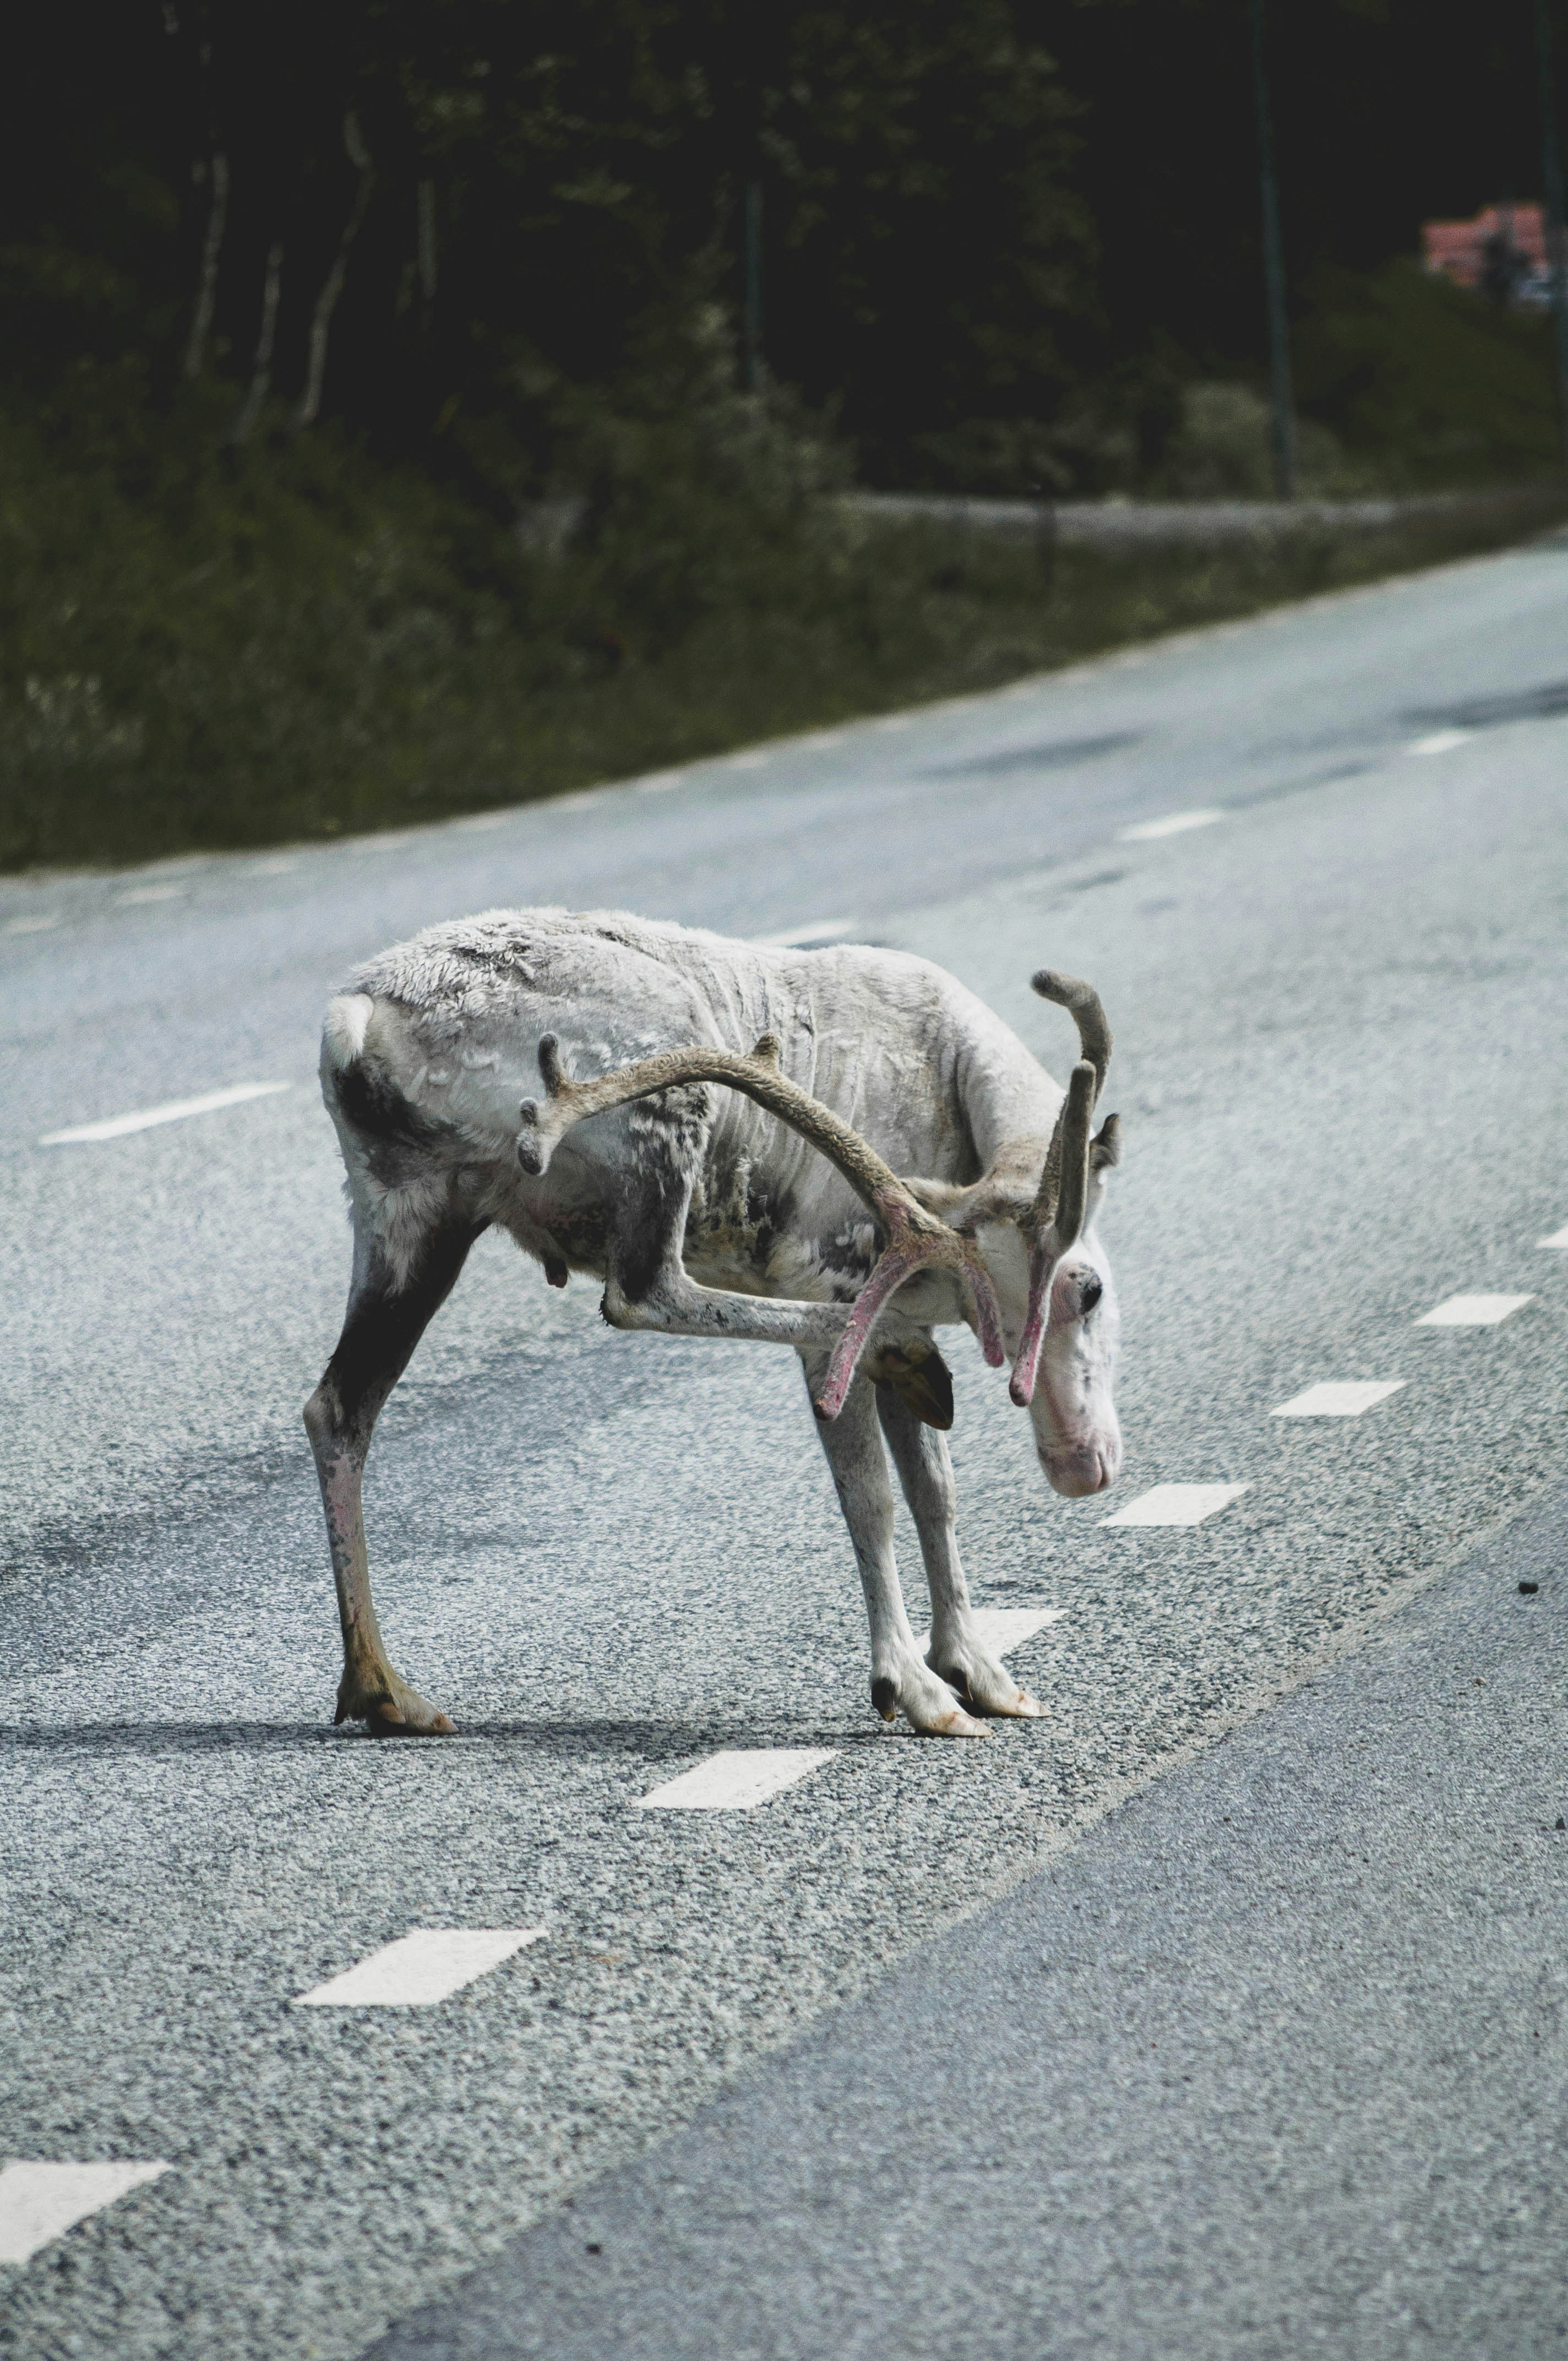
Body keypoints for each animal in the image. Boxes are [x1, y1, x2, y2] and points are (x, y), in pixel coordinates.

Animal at [303, 908, 1123, 1741]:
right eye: (1088, 1290)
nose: (1083, 1465)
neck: (958, 1109)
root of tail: (353, 1022)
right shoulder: (826, 1266)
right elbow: (872, 1498)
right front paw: (913, 1686)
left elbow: (937, 1493)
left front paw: (980, 1672)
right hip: (659, 1098)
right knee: (642, 1289)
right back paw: (898, 1346)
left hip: (409, 1212)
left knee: (338, 1407)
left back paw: (382, 1689)